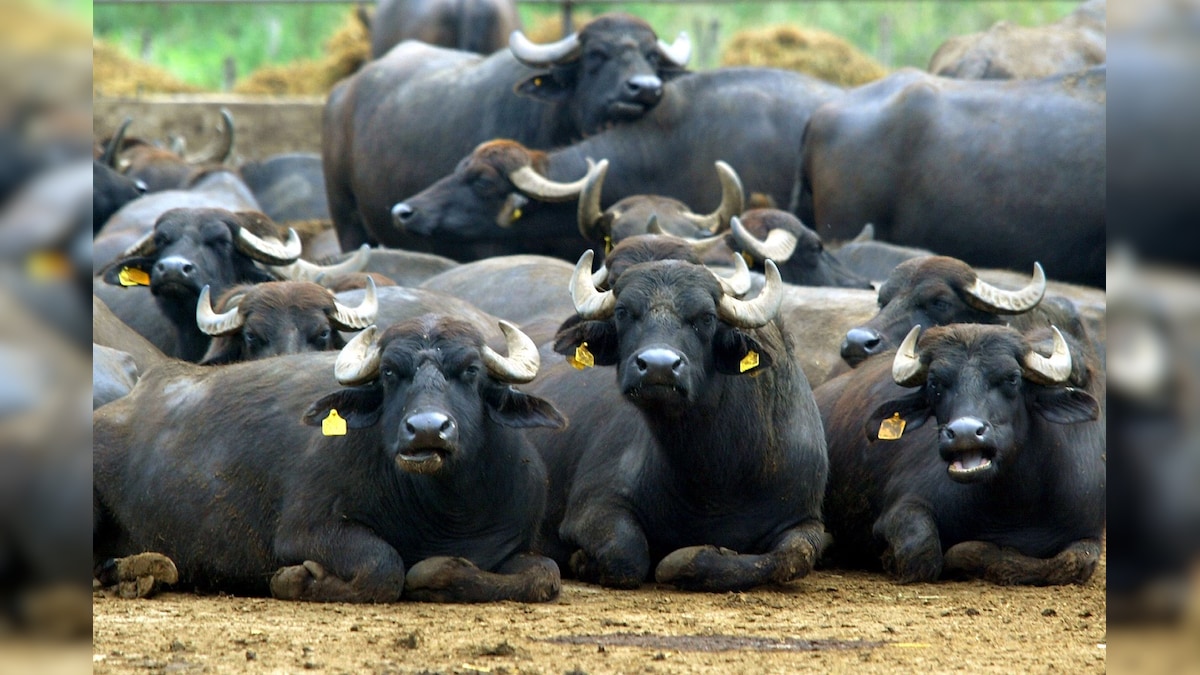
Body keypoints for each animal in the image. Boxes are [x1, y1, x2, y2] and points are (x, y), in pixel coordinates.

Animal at [93, 315, 566, 602]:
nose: (427, 430)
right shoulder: (302, 531)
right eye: (390, 373)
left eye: (471, 371)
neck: (443, 510)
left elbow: (545, 574)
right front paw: (297, 579)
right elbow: (384, 566)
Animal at [816, 323, 1105, 585]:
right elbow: (921, 550)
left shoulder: (1088, 533)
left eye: (1012, 378)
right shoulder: (899, 508)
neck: (1012, 506)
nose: (965, 432)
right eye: (935, 384)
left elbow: (1073, 562)